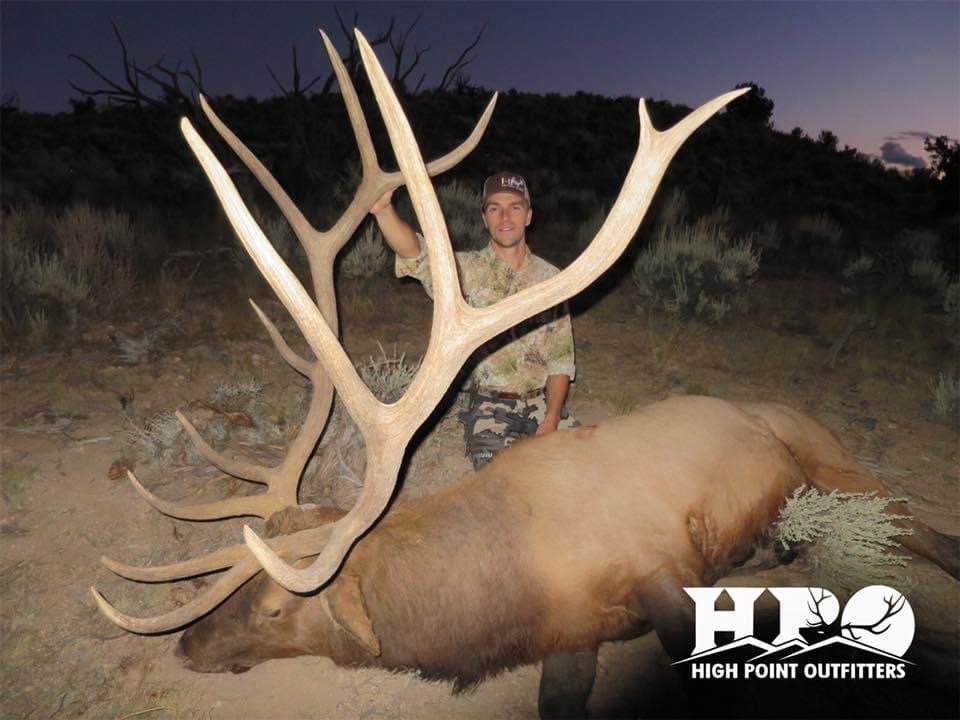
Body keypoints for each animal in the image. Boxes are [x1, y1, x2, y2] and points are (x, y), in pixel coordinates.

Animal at [90, 29, 960, 720]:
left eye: (273, 608)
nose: (186, 647)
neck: (501, 597)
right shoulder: (572, 631)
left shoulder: (662, 568)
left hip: (834, 464)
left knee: (922, 527)